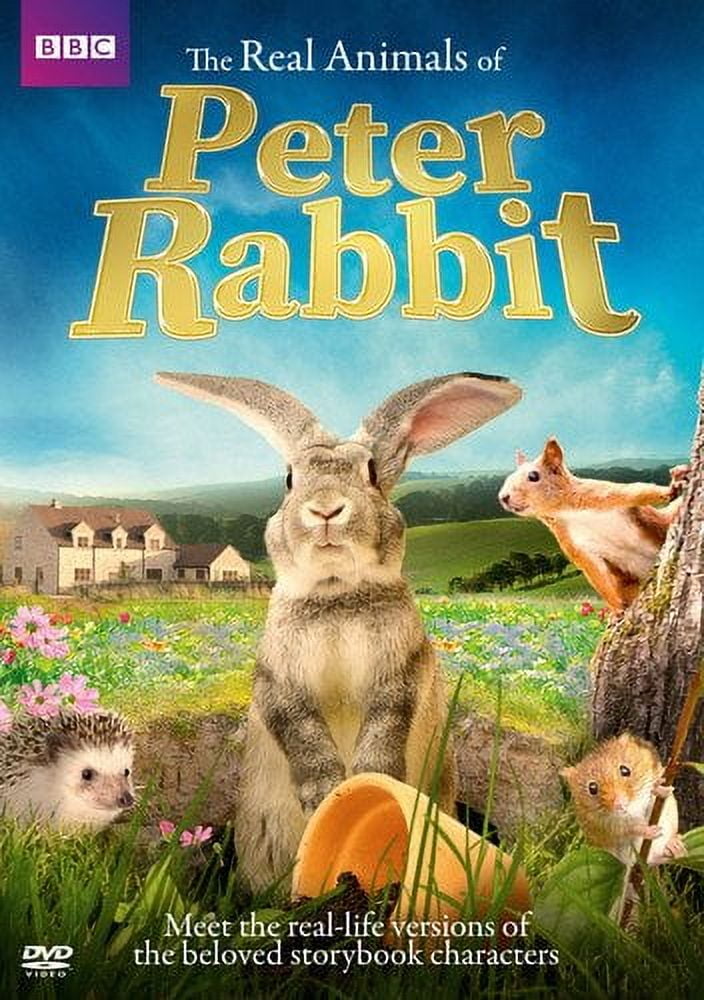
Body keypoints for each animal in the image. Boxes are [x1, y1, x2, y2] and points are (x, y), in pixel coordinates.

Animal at [155, 370, 522, 889]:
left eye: (371, 474)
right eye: (289, 479)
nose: (326, 510)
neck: (336, 595)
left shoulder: (401, 672)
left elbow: (387, 724)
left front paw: (369, 780)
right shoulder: (279, 681)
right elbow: (300, 730)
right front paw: (326, 793)